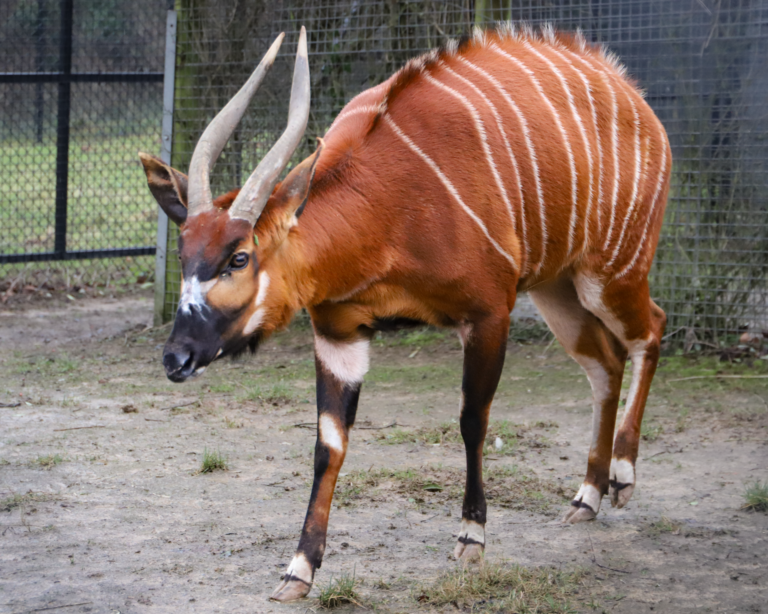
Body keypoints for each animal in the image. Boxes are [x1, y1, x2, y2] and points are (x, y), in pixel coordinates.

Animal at [139, 23, 670, 602]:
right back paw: (587, 495)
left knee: (651, 329)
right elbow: (328, 444)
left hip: (609, 274)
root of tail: (632, 94)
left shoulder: (488, 315)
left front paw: (471, 537)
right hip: (558, 290)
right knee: (604, 364)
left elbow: (472, 420)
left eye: (239, 256)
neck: (387, 208)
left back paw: (621, 476)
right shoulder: (340, 333)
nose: (175, 358)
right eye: (184, 252)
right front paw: (298, 570)